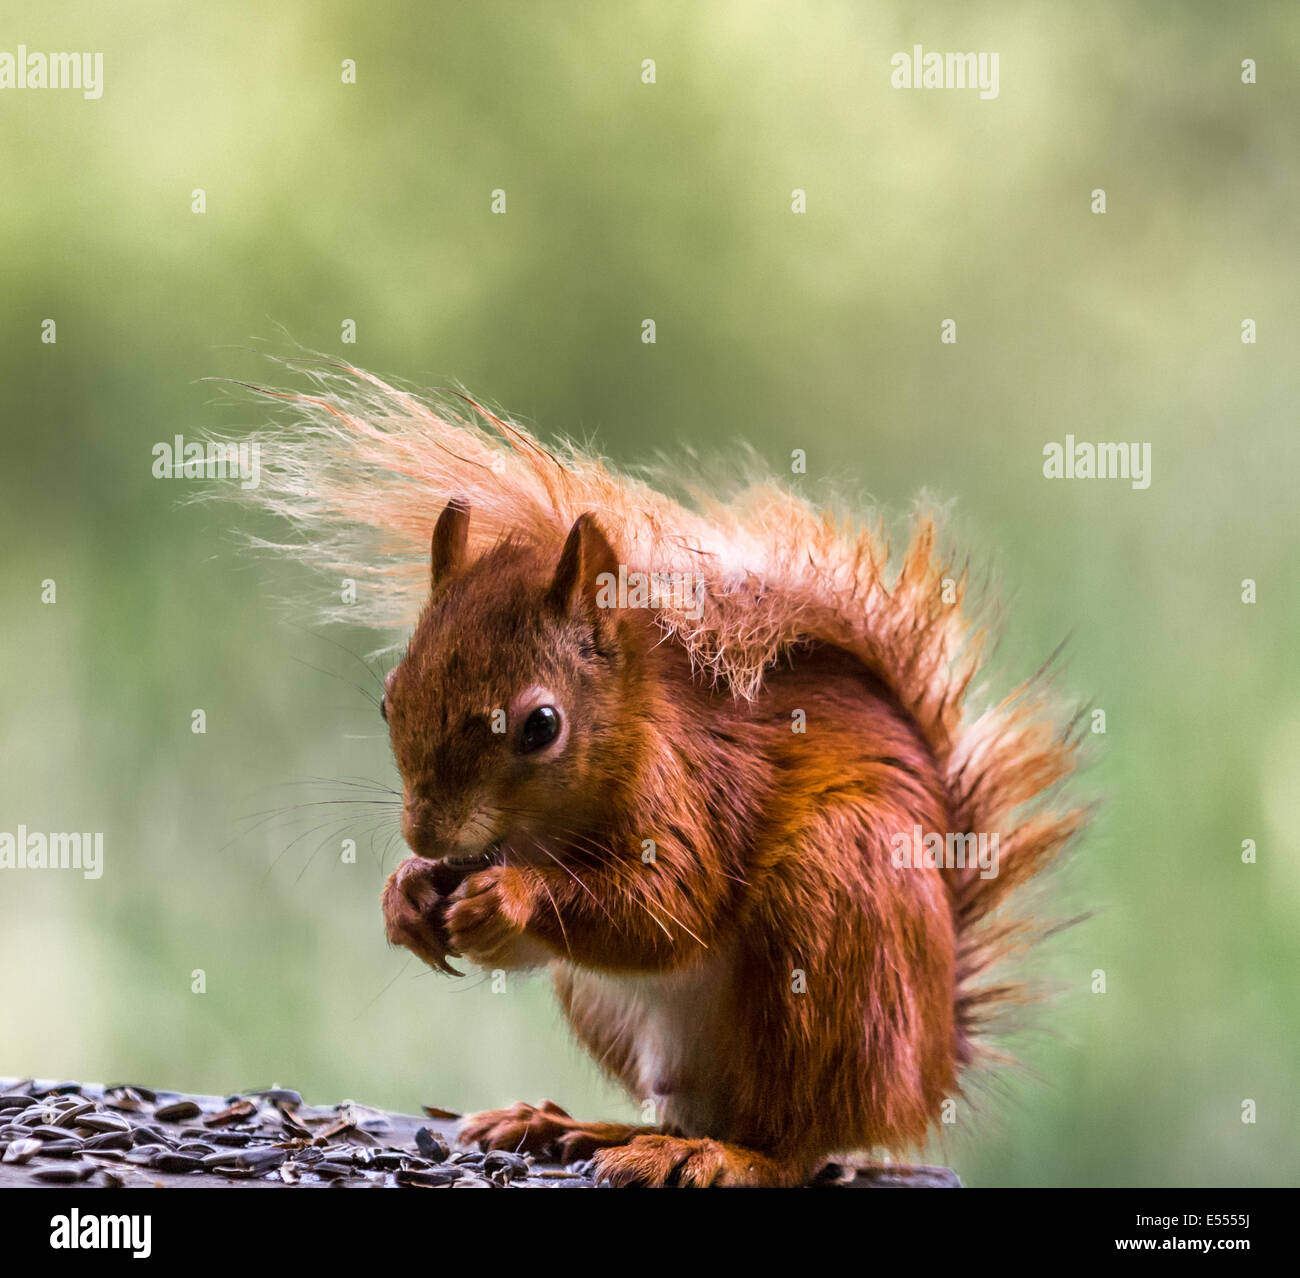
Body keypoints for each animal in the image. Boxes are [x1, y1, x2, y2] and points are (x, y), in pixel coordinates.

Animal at [229, 360, 1085, 1187]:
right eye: (388, 698)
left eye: (541, 726)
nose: (426, 836)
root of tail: (929, 1070)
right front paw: (407, 894)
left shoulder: (700, 796)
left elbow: (667, 907)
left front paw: (506, 897)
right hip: (627, 1021)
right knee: (687, 1107)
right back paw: (580, 1129)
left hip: (835, 921)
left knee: (799, 1139)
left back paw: (721, 1157)